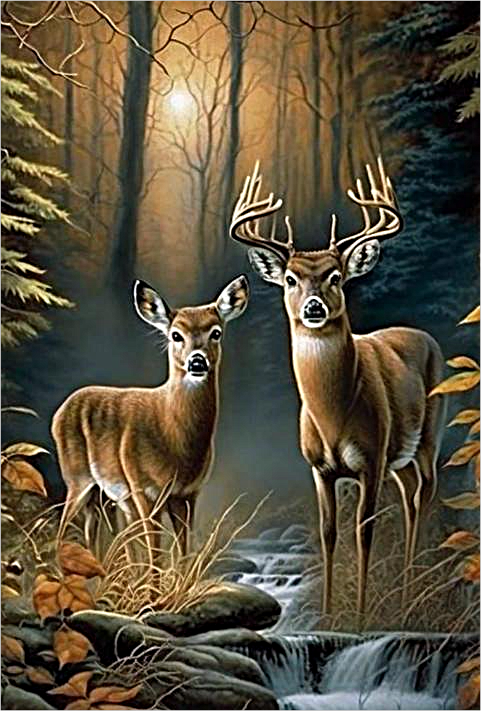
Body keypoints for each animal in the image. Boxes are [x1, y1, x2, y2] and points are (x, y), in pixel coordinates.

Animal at [52, 275, 250, 561]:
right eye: (176, 335)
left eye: (216, 332)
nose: (197, 362)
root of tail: (59, 412)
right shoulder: (144, 489)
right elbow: (153, 553)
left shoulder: (187, 493)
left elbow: (183, 552)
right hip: (77, 476)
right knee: (64, 527)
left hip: (107, 494)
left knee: (97, 530)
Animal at [229, 158, 446, 618]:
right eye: (290, 279)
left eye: (335, 276)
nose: (314, 307)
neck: (333, 416)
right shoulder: (320, 467)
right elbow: (327, 532)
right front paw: (327, 611)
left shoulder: (370, 459)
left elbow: (364, 532)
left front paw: (360, 617)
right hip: (399, 456)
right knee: (410, 496)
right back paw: (406, 585)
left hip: (430, 432)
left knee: (426, 494)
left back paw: (413, 588)